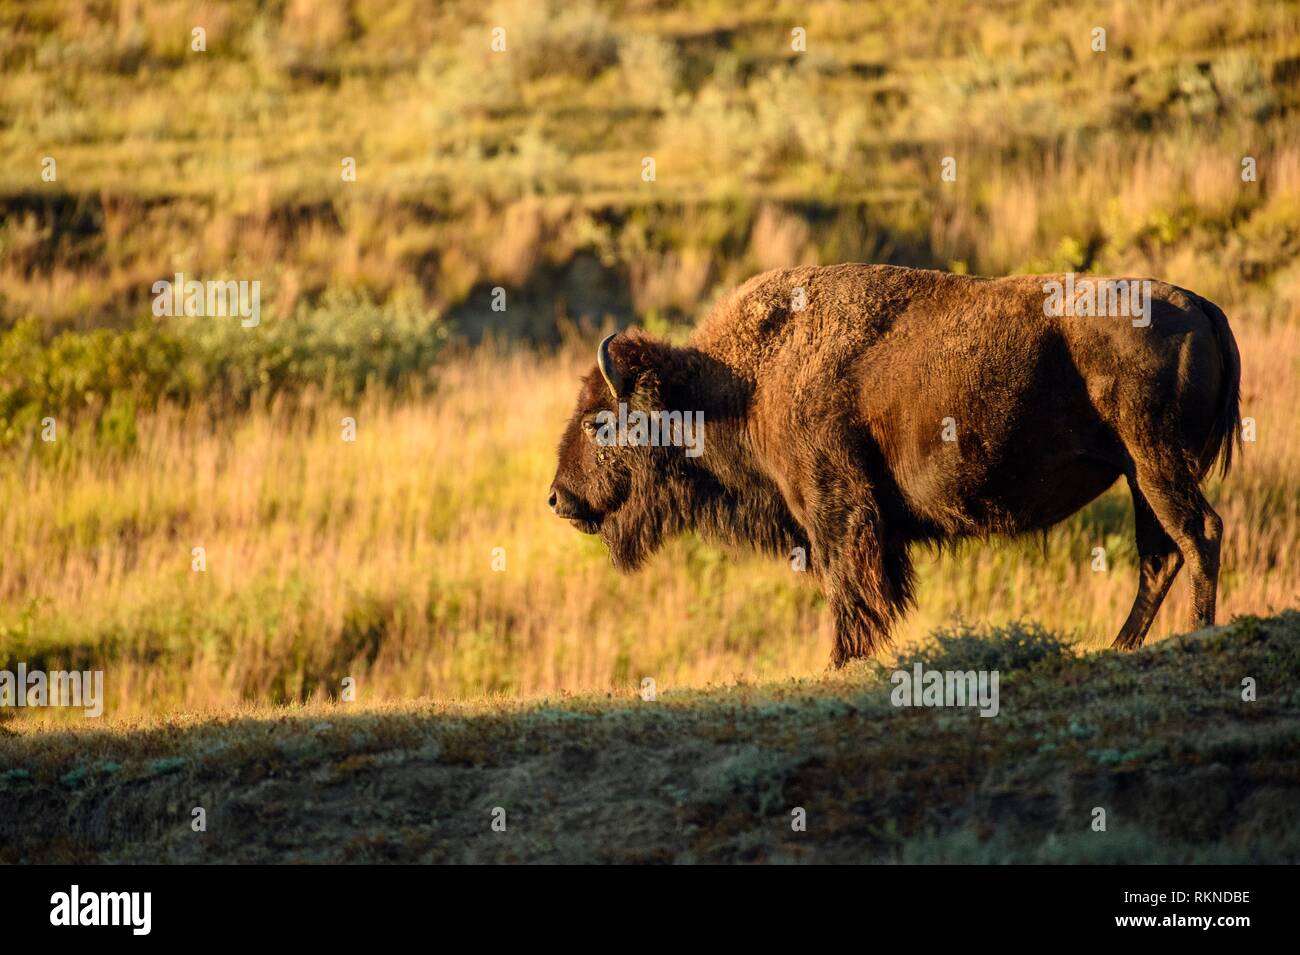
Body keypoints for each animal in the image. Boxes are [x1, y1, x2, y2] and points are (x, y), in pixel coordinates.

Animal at [549, 264, 1241, 665]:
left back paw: (1197, 634)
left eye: (599, 421)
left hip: (1155, 462)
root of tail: (1201, 305)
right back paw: (1119, 646)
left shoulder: (836, 512)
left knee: (1197, 533)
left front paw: (839, 663)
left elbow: (847, 592)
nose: (558, 498)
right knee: (1162, 553)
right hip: (1140, 475)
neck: (742, 384)